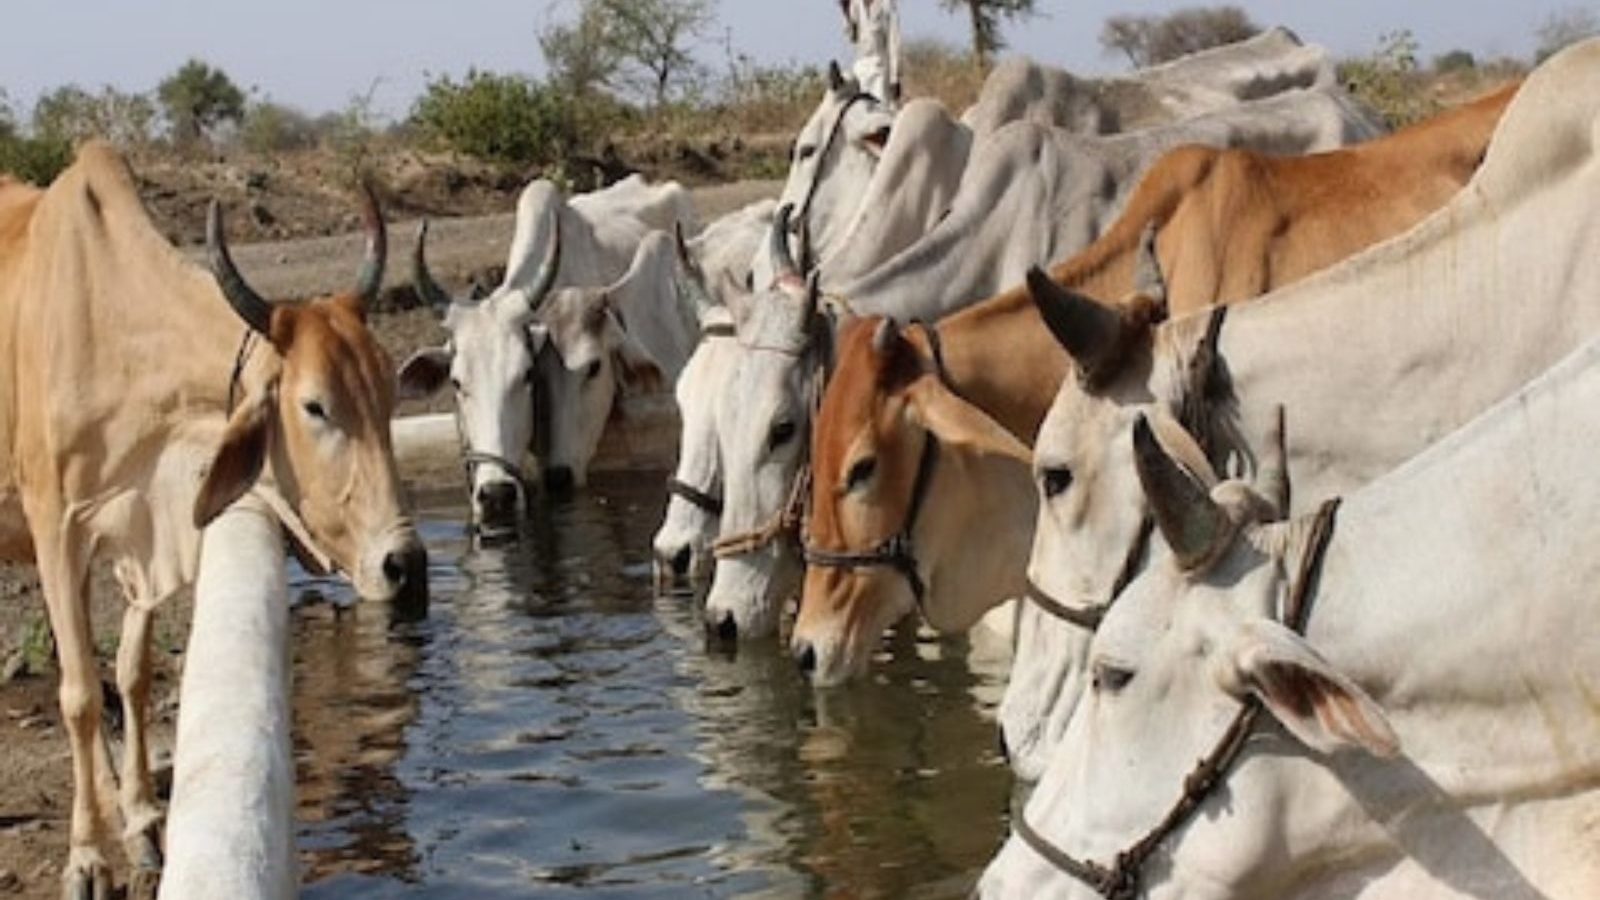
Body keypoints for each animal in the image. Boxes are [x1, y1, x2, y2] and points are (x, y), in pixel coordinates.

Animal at [0, 141, 425, 898]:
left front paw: (142, 820)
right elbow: (78, 695)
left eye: (388, 390)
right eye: (314, 405)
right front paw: (87, 858)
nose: (405, 565)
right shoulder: (57, 527)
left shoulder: (142, 536)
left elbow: (133, 673)